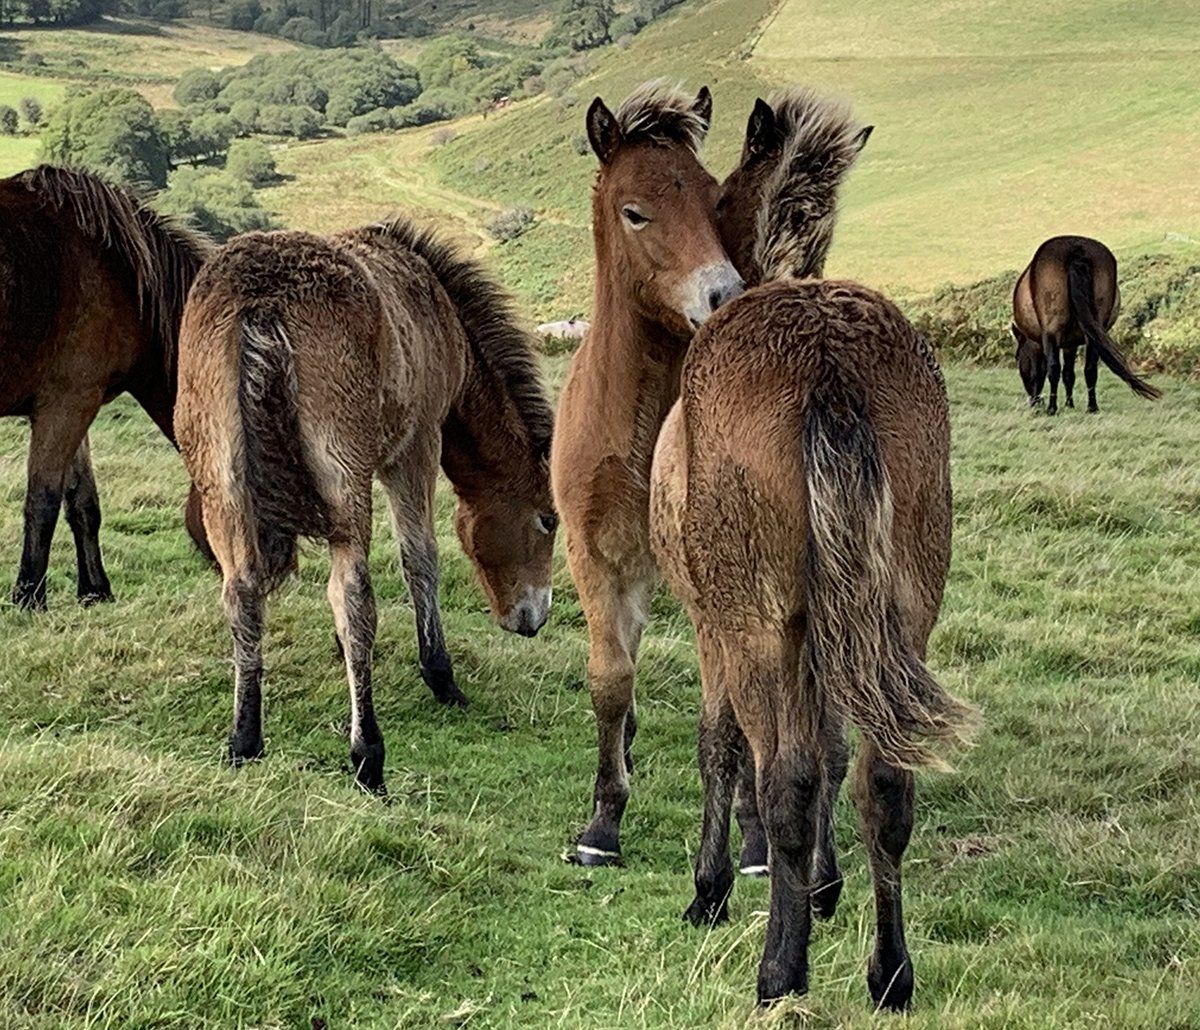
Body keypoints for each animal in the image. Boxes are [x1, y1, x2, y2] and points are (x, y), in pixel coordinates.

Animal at [0, 164, 212, 609]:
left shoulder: (75, 405)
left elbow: (83, 503)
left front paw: (95, 589)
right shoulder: (66, 404)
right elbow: (42, 501)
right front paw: (29, 596)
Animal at [175, 218, 556, 795]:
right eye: (548, 520)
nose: (533, 619)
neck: (437, 311)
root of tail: (262, 300)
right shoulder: (415, 448)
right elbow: (420, 559)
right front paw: (440, 676)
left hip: (223, 484)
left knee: (240, 592)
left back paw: (245, 740)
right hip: (343, 480)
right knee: (353, 595)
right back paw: (367, 753)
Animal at [651, 89, 976, 1009]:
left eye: (714, 193)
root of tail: (828, 363)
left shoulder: (714, 624)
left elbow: (723, 747)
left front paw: (711, 888)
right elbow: (835, 751)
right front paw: (827, 891)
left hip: (761, 623)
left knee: (784, 781)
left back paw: (779, 969)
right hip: (902, 613)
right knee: (886, 785)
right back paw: (890, 972)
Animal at [1011, 235, 1161, 413]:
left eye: (1018, 358)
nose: (1033, 401)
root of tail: (1076, 249)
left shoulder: (1041, 342)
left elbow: (1043, 370)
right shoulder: (1070, 344)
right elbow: (1069, 374)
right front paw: (1069, 404)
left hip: (1052, 332)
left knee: (1054, 369)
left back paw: (1052, 408)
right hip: (1093, 335)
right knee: (1090, 368)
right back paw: (1092, 407)